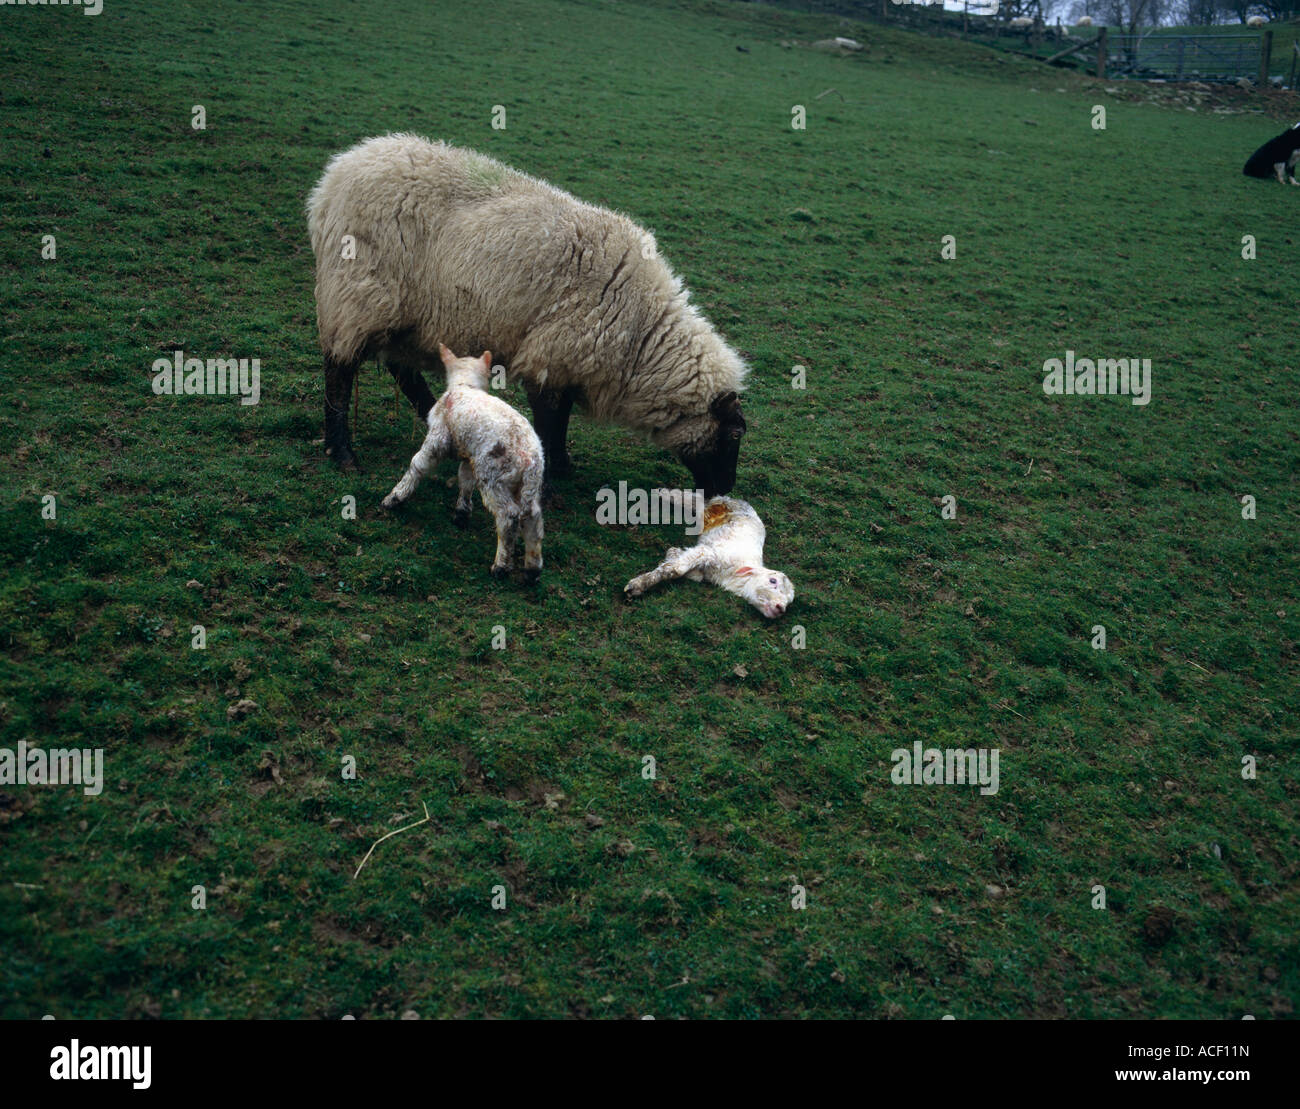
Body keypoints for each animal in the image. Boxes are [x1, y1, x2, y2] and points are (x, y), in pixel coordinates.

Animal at [308, 134, 749, 497]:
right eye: (734, 434)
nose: (724, 492)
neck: (641, 332)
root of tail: (333, 180)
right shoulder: (551, 354)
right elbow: (550, 420)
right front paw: (550, 478)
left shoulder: (569, 359)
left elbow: (562, 416)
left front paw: (564, 466)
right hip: (358, 293)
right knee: (339, 371)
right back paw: (342, 452)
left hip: (404, 314)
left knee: (402, 370)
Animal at [382, 345, 544, 582]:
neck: (466, 385)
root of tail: (529, 457)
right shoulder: (470, 453)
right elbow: (465, 480)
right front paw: (461, 513)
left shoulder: (438, 437)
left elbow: (418, 464)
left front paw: (395, 497)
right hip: (527, 485)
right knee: (533, 517)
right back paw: (532, 569)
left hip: (494, 475)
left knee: (508, 516)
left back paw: (501, 566)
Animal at [624, 492, 794, 619]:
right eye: (772, 581)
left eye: (789, 601)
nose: (780, 608)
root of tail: (734, 499)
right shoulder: (709, 552)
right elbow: (677, 569)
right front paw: (637, 585)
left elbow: (693, 573)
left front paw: (673, 552)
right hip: (713, 506)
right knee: (694, 498)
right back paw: (664, 493)